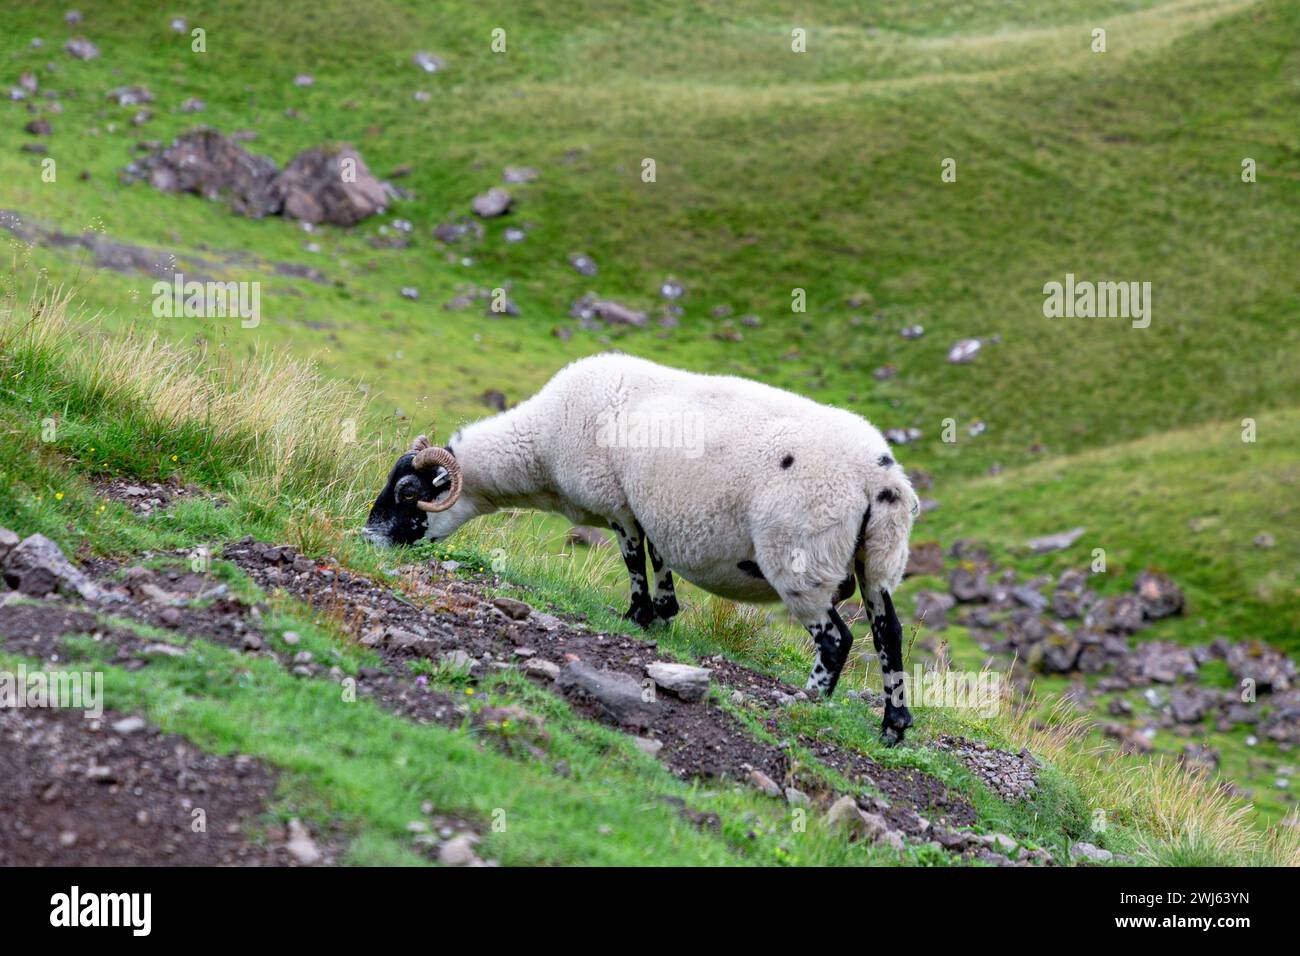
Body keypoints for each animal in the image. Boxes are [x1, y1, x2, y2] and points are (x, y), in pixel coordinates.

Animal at [363, 353, 920, 744]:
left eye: (408, 492)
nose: (367, 538)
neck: (541, 443)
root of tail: (880, 478)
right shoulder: (651, 511)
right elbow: (658, 561)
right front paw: (664, 614)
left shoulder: (618, 504)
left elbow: (633, 560)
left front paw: (636, 615)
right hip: (878, 560)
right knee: (887, 632)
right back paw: (892, 727)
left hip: (802, 558)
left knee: (836, 639)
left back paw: (808, 700)